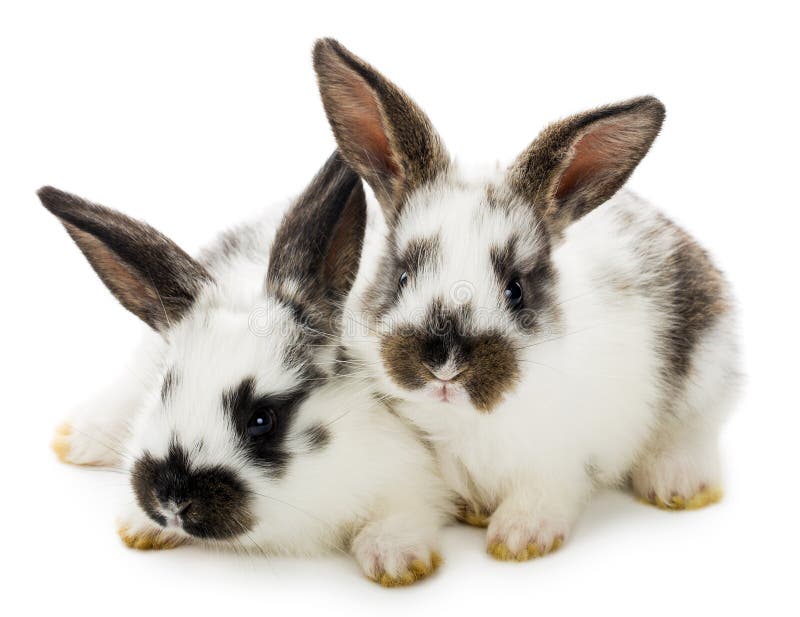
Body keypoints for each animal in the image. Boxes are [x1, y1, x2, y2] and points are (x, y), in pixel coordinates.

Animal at [39, 152, 453, 586]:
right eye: (166, 391)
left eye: (261, 420)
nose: (172, 501)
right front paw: (141, 526)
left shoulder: (410, 472)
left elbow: (405, 507)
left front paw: (395, 560)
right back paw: (76, 437)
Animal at [312, 38, 741, 561]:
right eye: (402, 276)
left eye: (515, 290)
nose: (445, 364)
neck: (464, 422)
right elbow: (402, 505)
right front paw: (391, 551)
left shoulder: (560, 457)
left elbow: (543, 492)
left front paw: (519, 537)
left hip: (707, 365)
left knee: (694, 429)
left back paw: (676, 483)